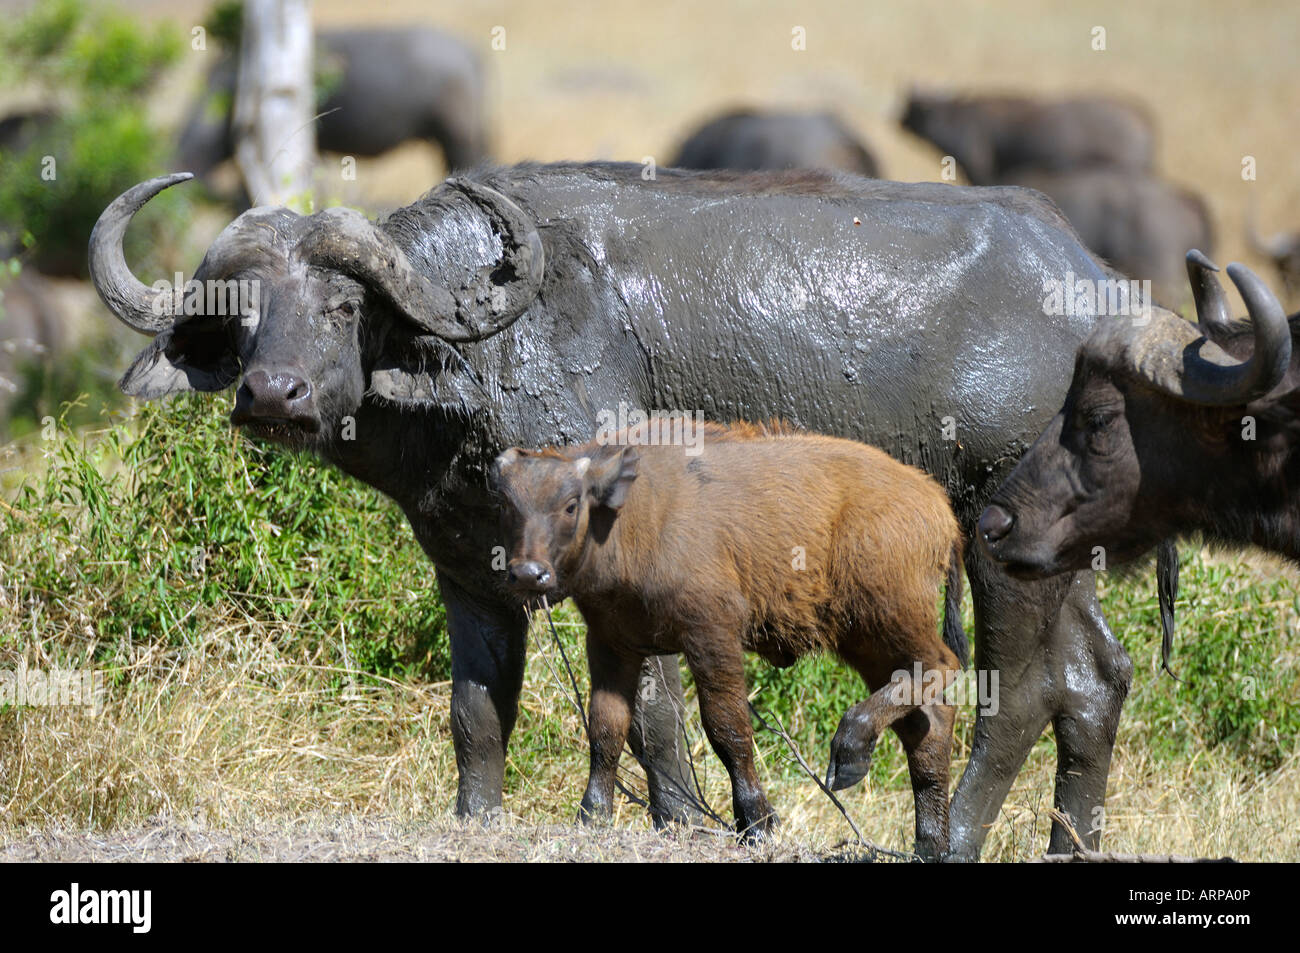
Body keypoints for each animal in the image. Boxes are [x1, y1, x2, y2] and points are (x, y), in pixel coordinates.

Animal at [493, 422, 964, 855]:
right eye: (508, 506)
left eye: (571, 505)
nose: (527, 574)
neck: (635, 515)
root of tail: (939, 507)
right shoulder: (611, 645)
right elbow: (606, 728)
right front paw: (591, 815)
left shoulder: (711, 635)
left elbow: (726, 727)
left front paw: (757, 821)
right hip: (868, 642)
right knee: (926, 721)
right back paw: (929, 842)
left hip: (891, 618)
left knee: (945, 667)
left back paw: (850, 747)